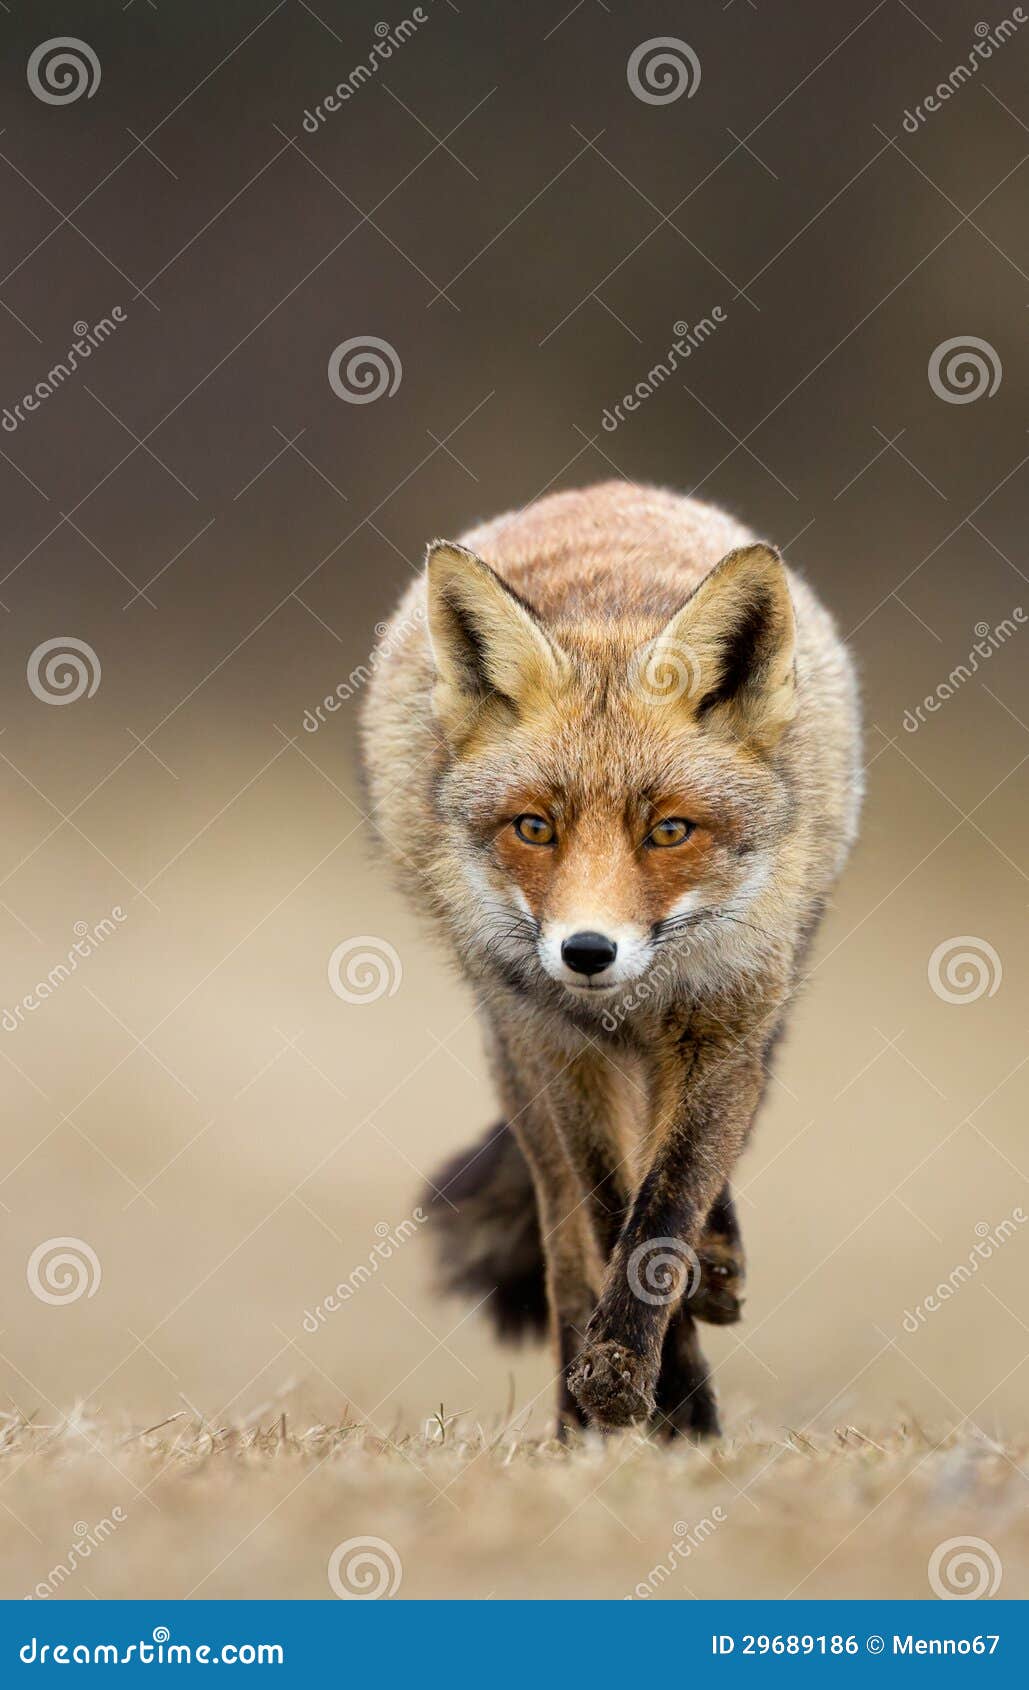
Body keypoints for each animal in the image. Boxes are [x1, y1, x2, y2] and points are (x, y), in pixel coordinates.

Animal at [360, 481, 861, 1438]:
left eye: (667, 831)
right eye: (533, 828)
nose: (586, 952)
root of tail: (602, 491)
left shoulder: (727, 1018)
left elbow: (667, 1200)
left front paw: (653, 1384)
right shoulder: (561, 1048)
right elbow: (609, 1209)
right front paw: (646, 1391)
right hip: (516, 1054)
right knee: (562, 1242)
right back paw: (577, 1424)